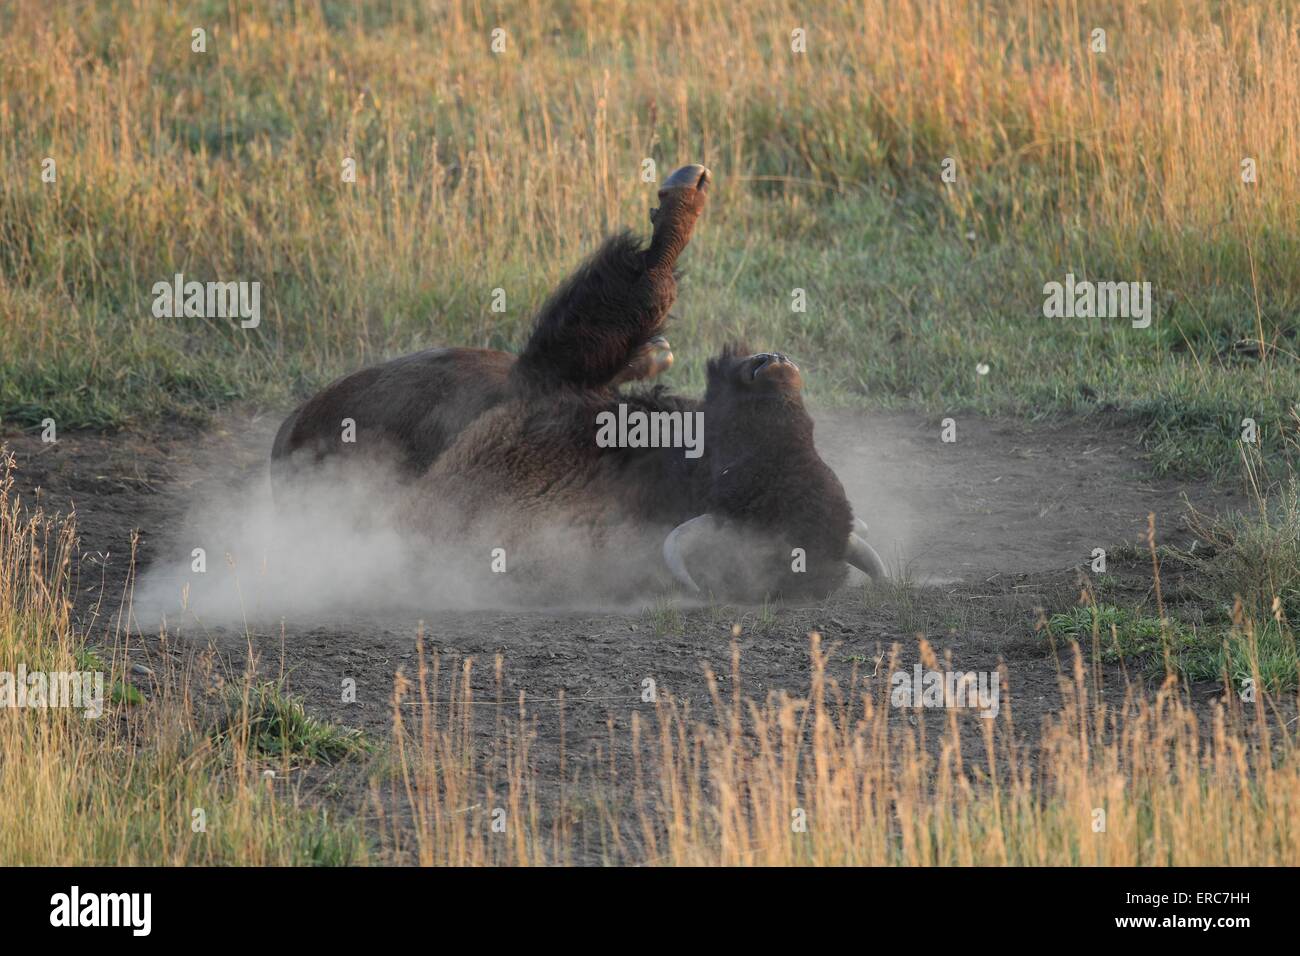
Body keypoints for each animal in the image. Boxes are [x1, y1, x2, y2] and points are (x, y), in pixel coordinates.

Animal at [272, 164, 886, 602]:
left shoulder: (542, 392)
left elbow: (639, 288)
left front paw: (679, 196)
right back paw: (655, 353)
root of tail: (287, 443)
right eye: (811, 446)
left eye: (737, 463)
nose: (773, 367)